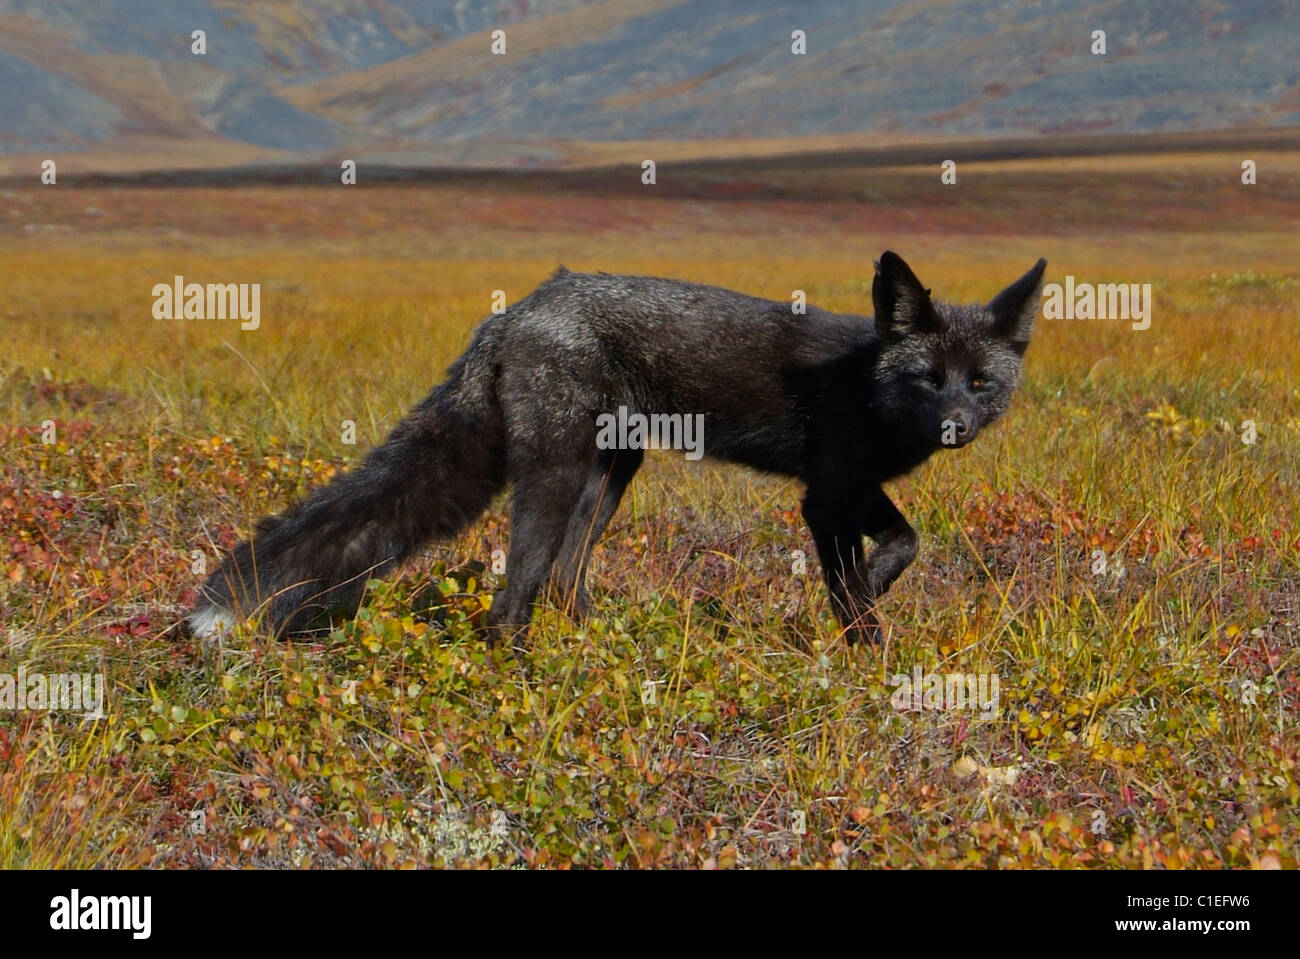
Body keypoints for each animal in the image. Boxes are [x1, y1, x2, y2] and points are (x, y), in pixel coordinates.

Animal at [188, 252, 1046, 649]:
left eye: (980, 382)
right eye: (928, 378)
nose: (955, 425)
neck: (867, 387)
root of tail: (516, 310)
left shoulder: (852, 488)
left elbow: (906, 540)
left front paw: (869, 607)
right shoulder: (827, 494)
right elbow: (858, 584)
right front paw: (864, 648)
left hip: (612, 471)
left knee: (565, 580)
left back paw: (592, 647)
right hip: (558, 473)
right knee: (514, 597)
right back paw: (518, 667)